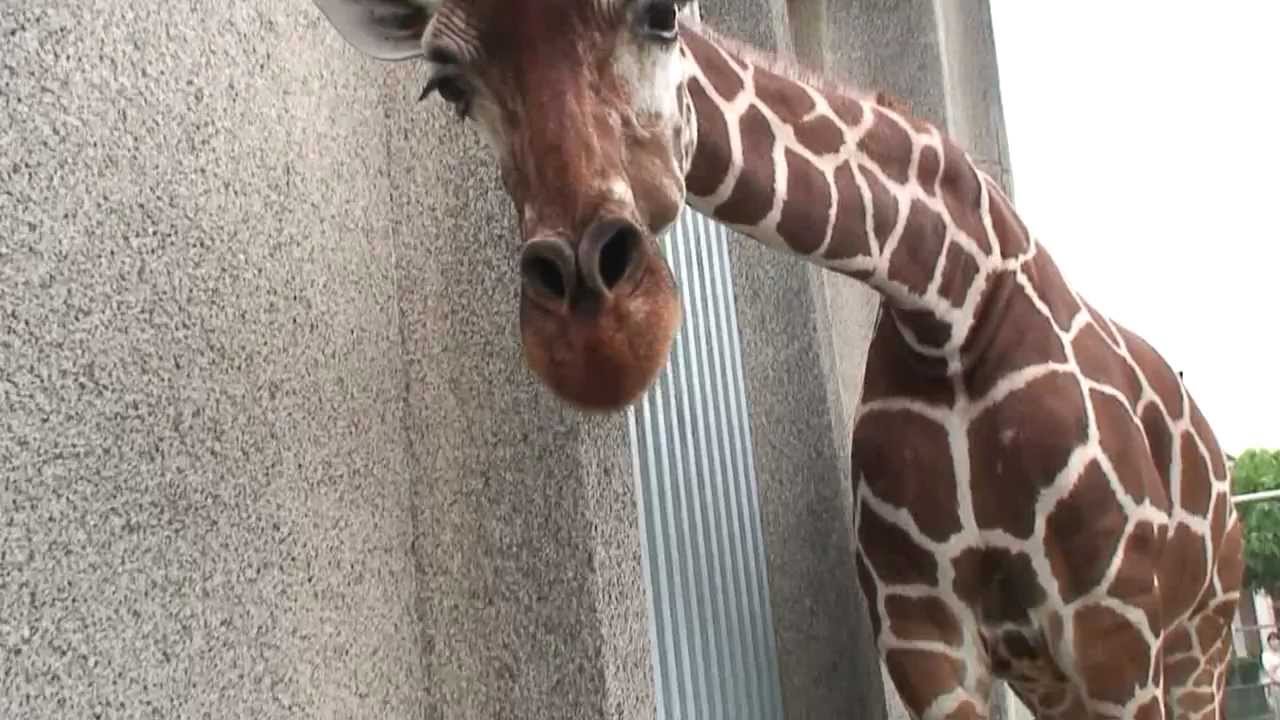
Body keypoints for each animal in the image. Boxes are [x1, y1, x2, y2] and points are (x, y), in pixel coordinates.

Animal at [310, 1, 1244, 718]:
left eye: (660, 12)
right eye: (446, 84)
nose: (599, 336)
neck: (954, 310)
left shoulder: (1111, 627)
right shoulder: (925, 633)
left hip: (1199, 641)